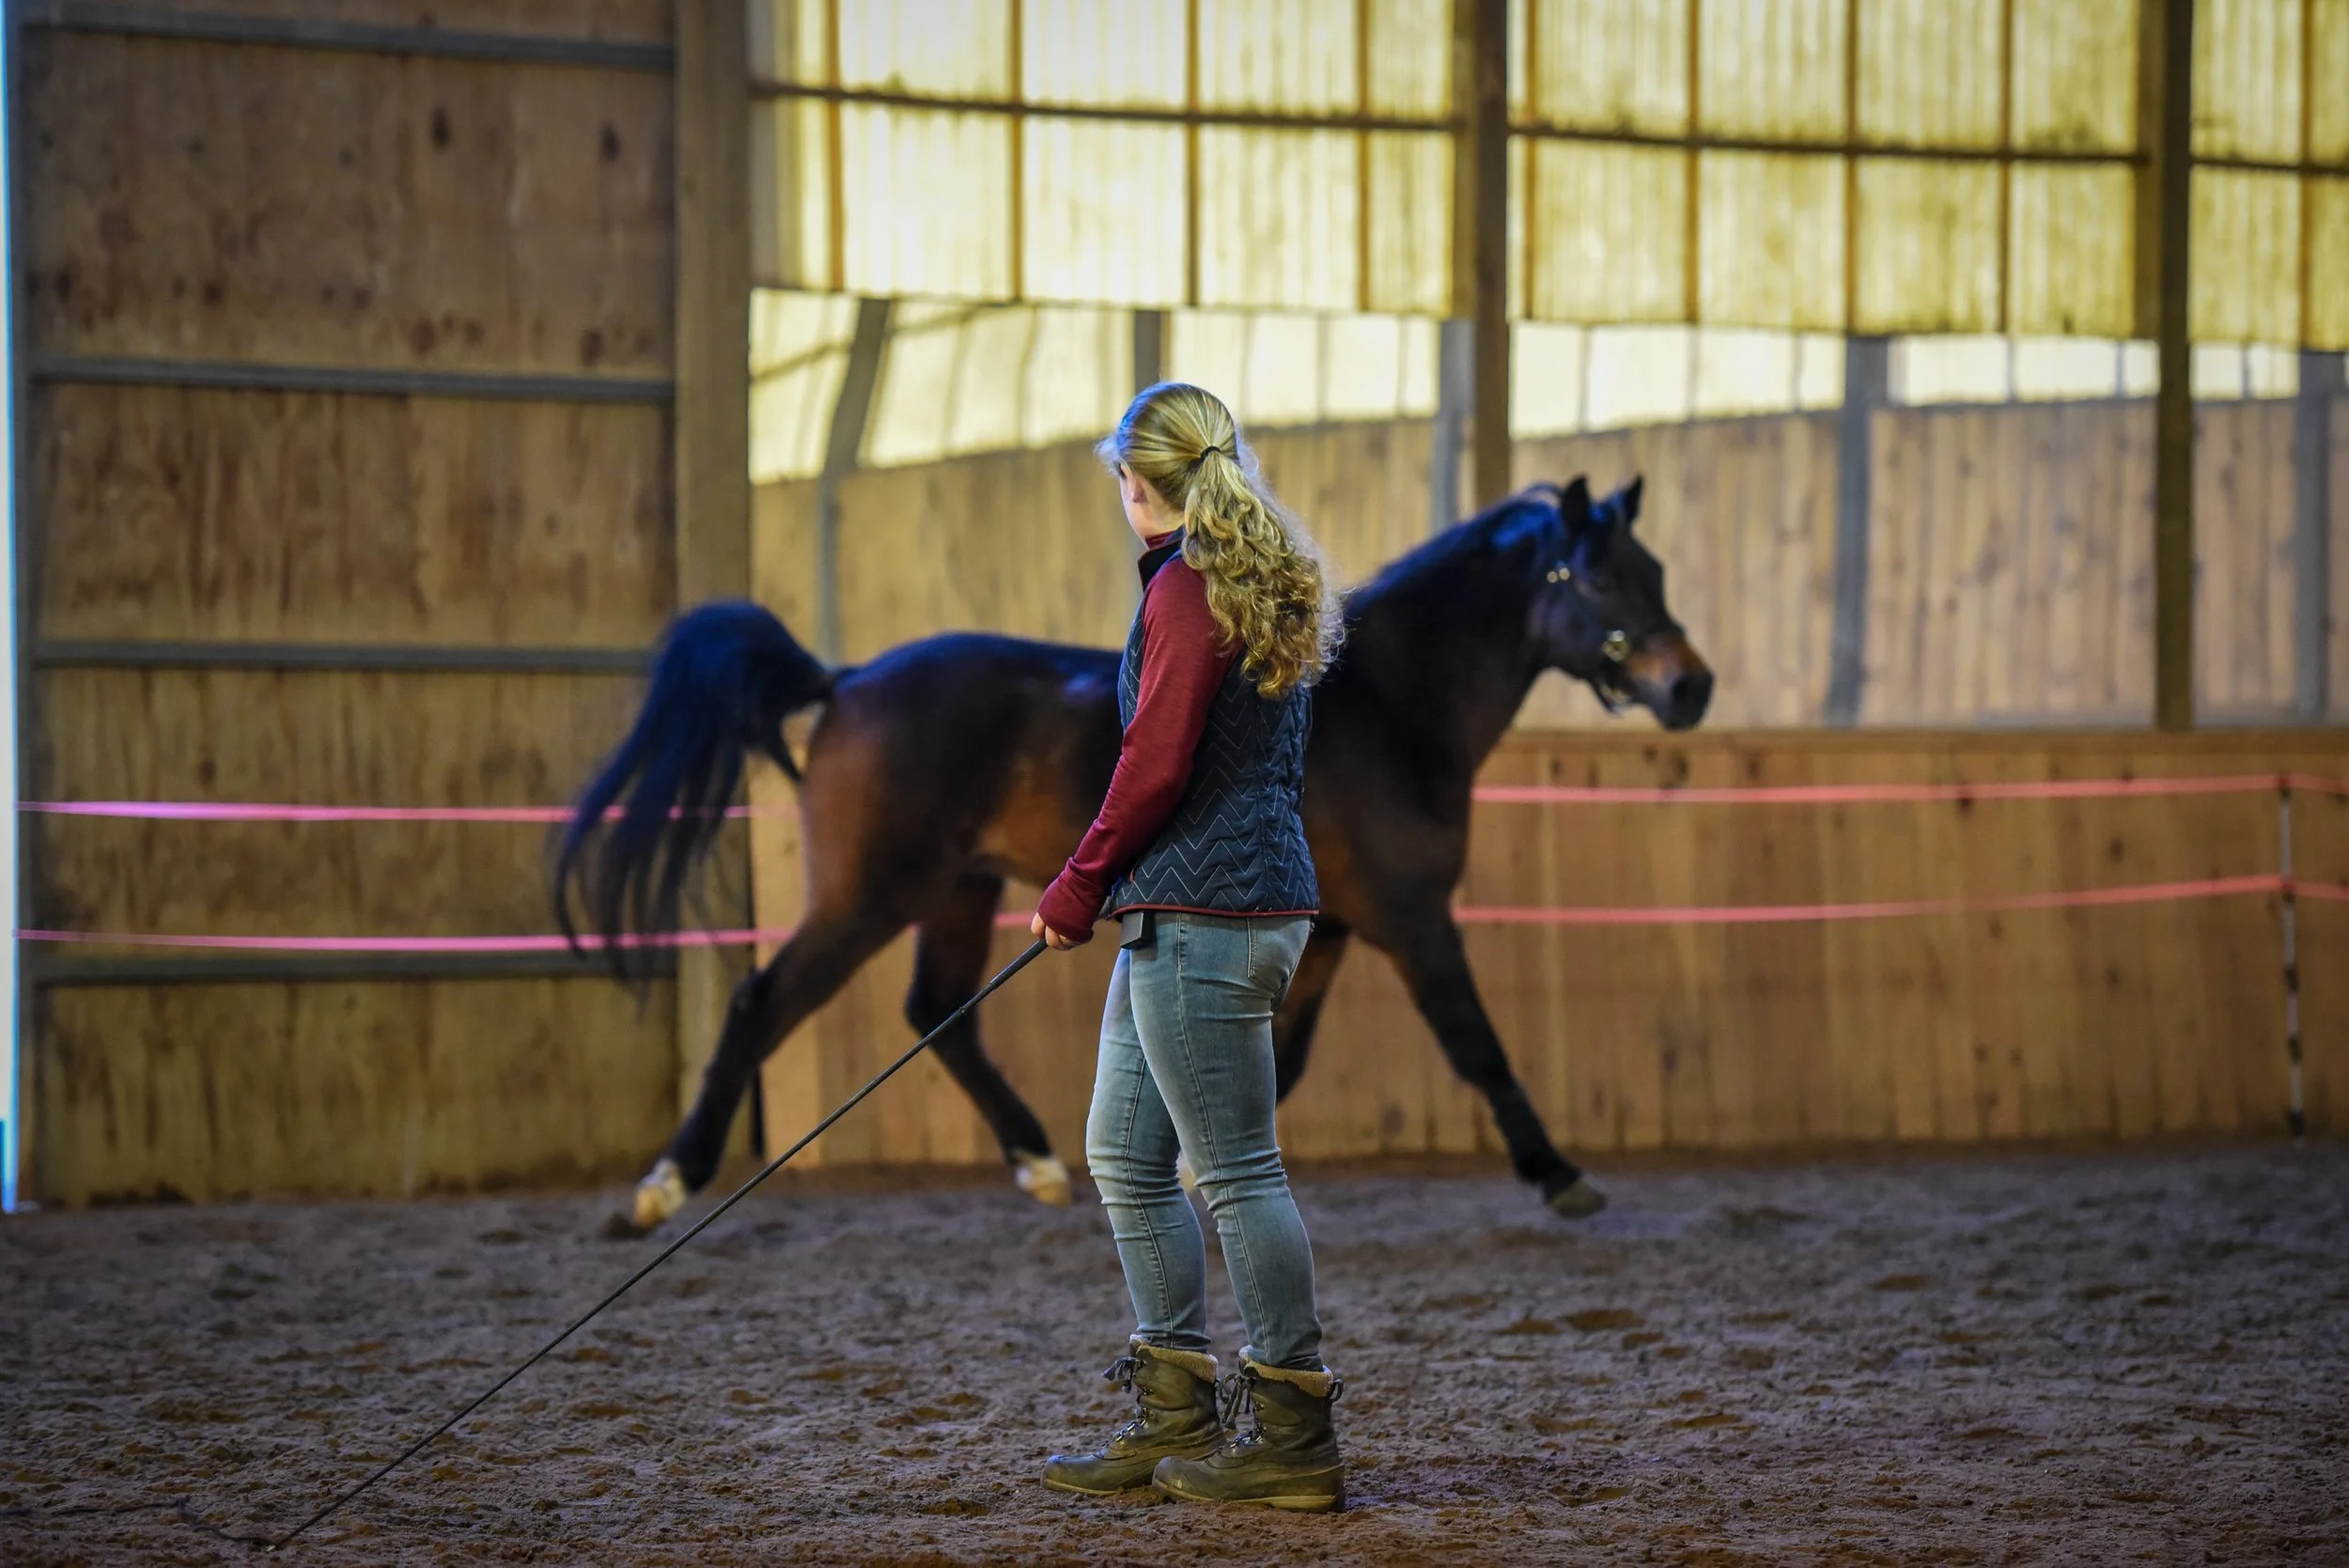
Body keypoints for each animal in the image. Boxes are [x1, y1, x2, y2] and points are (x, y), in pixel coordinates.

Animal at [561, 476, 1711, 1236]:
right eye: (1592, 576)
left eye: (1655, 568)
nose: (1690, 685)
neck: (1385, 704)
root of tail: (843, 680)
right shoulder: (1413, 919)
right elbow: (1477, 1046)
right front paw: (1560, 1173)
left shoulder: (1328, 930)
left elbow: (1280, 1061)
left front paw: (1202, 1177)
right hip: (868, 894)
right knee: (765, 1002)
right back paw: (663, 1186)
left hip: (958, 891)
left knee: (939, 1013)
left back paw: (1040, 1166)